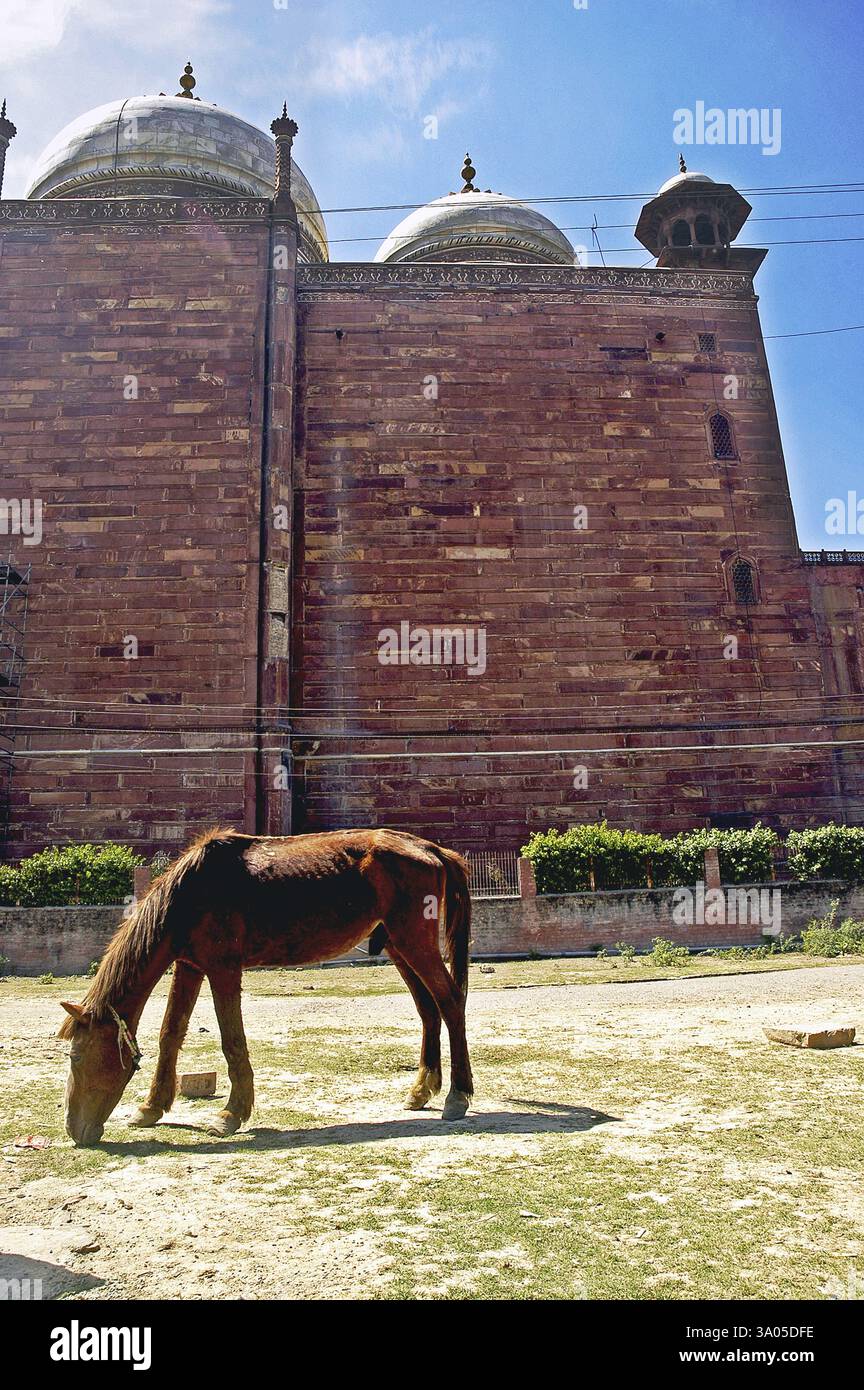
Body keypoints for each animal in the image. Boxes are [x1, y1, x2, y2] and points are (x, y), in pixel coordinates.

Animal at [58, 826, 473, 1147]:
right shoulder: (189, 967)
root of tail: (431, 849)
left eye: (76, 1057)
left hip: (413, 942)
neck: (193, 891)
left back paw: (457, 1095)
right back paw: (421, 1090)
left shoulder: (223, 969)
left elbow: (231, 1039)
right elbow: (170, 1033)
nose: (75, 1130)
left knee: (451, 1001)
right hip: (397, 945)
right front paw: (151, 1107)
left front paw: (230, 1114)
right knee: (429, 1009)